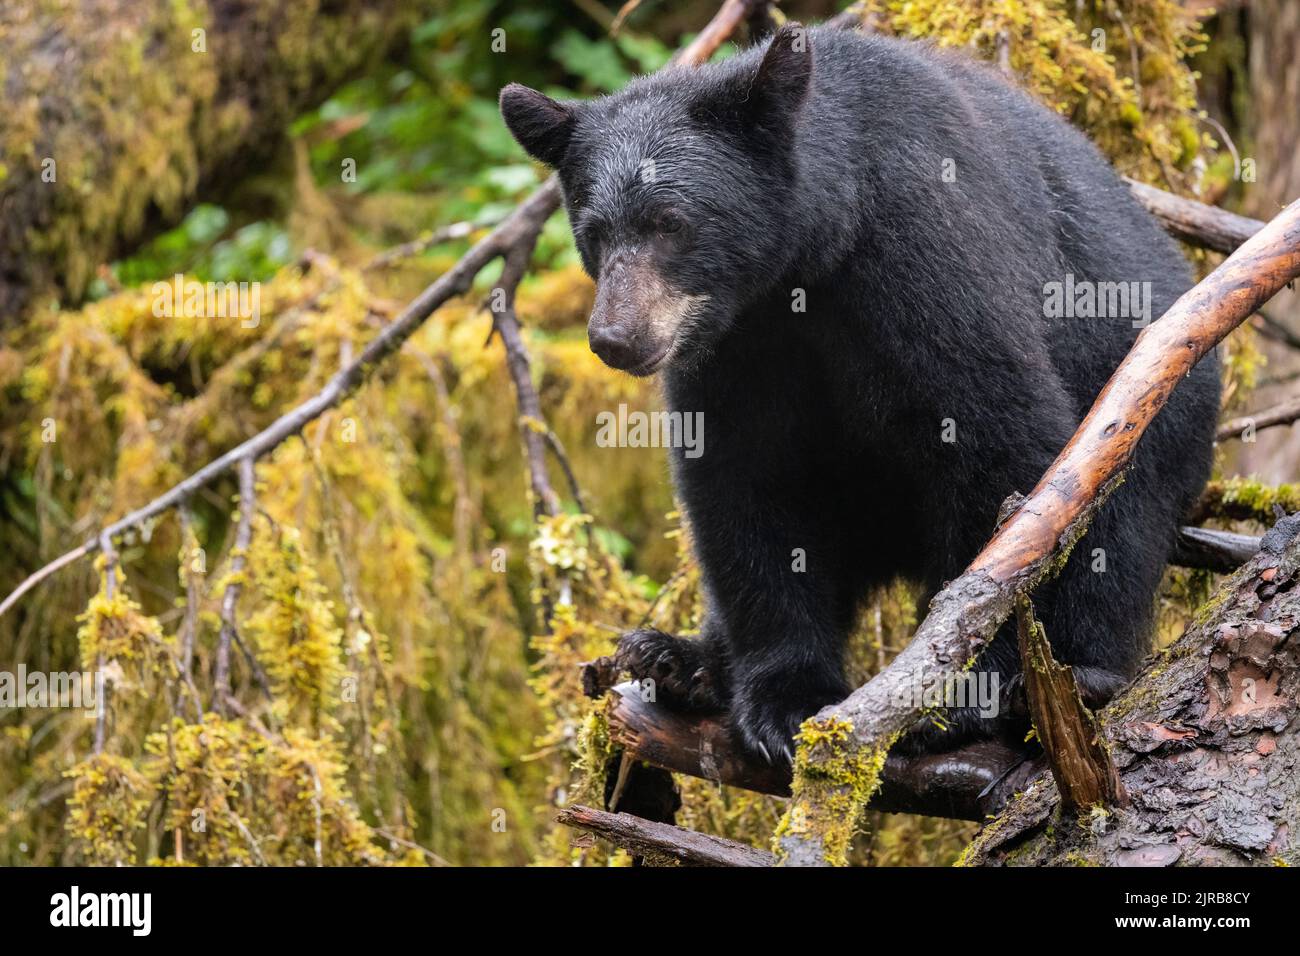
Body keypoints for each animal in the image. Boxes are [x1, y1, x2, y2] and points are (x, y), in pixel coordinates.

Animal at [499, 22, 1220, 766]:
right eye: (594, 232)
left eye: (670, 222)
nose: (615, 337)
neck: (809, 264)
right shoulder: (734, 346)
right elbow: (745, 487)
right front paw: (784, 700)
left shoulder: (924, 252)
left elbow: (999, 440)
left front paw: (960, 692)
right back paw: (679, 659)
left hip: (1154, 402)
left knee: (1118, 530)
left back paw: (1085, 673)